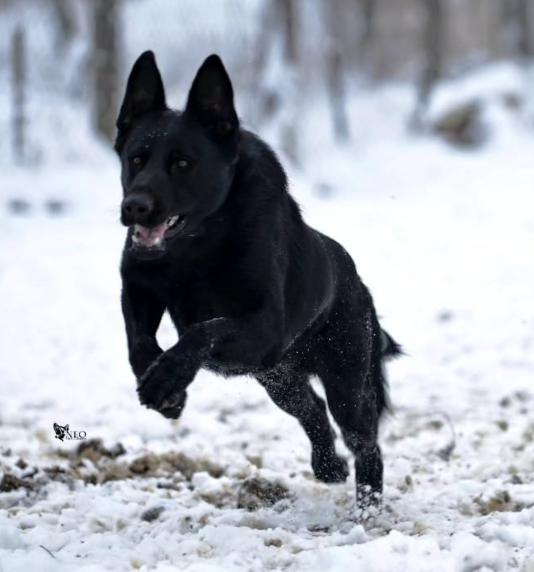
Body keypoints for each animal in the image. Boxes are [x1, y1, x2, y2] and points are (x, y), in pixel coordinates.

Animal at [117, 51, 402, 502]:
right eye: (136, 159)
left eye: (182, 163)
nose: (135, 206)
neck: (198, 245)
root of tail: (360, 286)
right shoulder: (138, 285)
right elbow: (139, 341)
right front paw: (166, 389)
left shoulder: (264, 328)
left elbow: (204, 329)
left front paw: (167, 378)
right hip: (279, 378)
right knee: (311, 409)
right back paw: (328, 467)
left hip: (345, 378)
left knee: (365, 443)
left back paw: (367, 507)